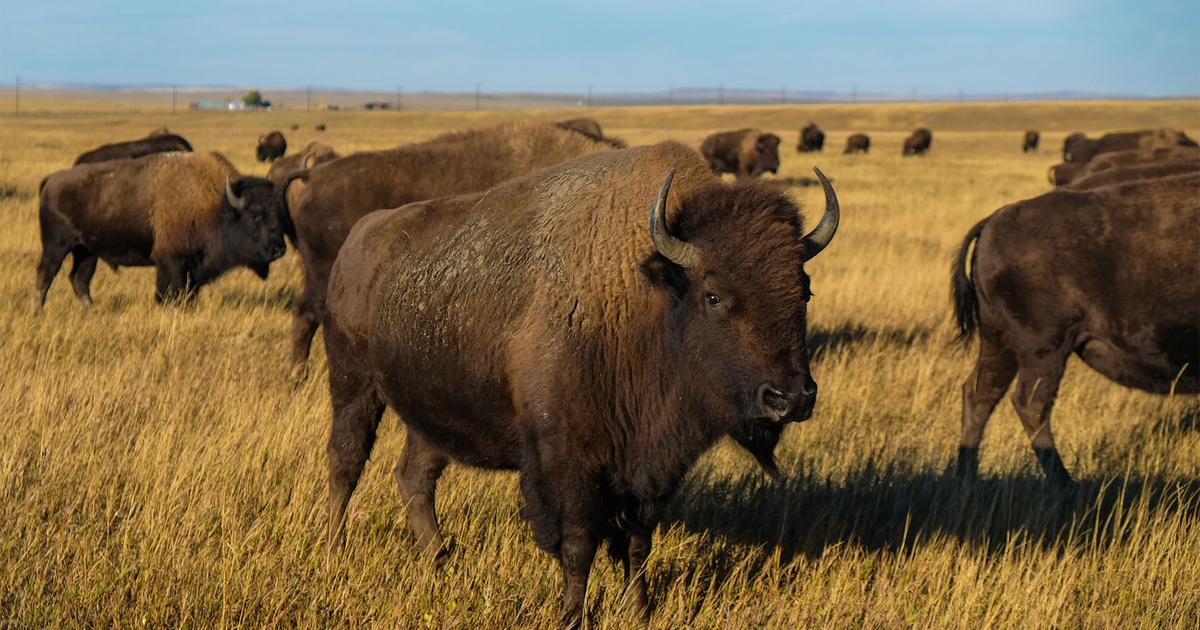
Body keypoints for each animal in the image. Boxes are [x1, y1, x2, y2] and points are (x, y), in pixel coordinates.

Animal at [37, 152, 284, 307]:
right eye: (255, 215)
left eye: (277, 213)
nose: (279, 250)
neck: (214, 204)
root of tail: (52, 180)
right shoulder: (170, 261)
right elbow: (170, 293)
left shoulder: (192, 267)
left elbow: (189, 293)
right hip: (56, 247)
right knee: (45, 275)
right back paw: (39, 311)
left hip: (86, 251)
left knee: (80, 279)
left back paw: (92, 309)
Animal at [323, 140, 840, 627]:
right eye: (713, 295)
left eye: (806, 289)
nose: (789, 398)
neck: (648, 297)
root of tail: (359, 237)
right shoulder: (567, 461)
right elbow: (578, 544)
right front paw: (572, 615)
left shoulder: (644, 471)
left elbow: (636, 543)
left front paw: (640, 611)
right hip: (354, 385)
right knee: (346, 463)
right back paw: (337, 547)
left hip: (430, 416)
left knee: (415, 478)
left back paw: (441, 560)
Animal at [952, 173, 1199, 485]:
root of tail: (995, 220)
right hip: (1045, 349)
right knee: (1030, 403)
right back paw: (1065, 484)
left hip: (998, 342)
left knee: (980, 395)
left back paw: (965, 478)